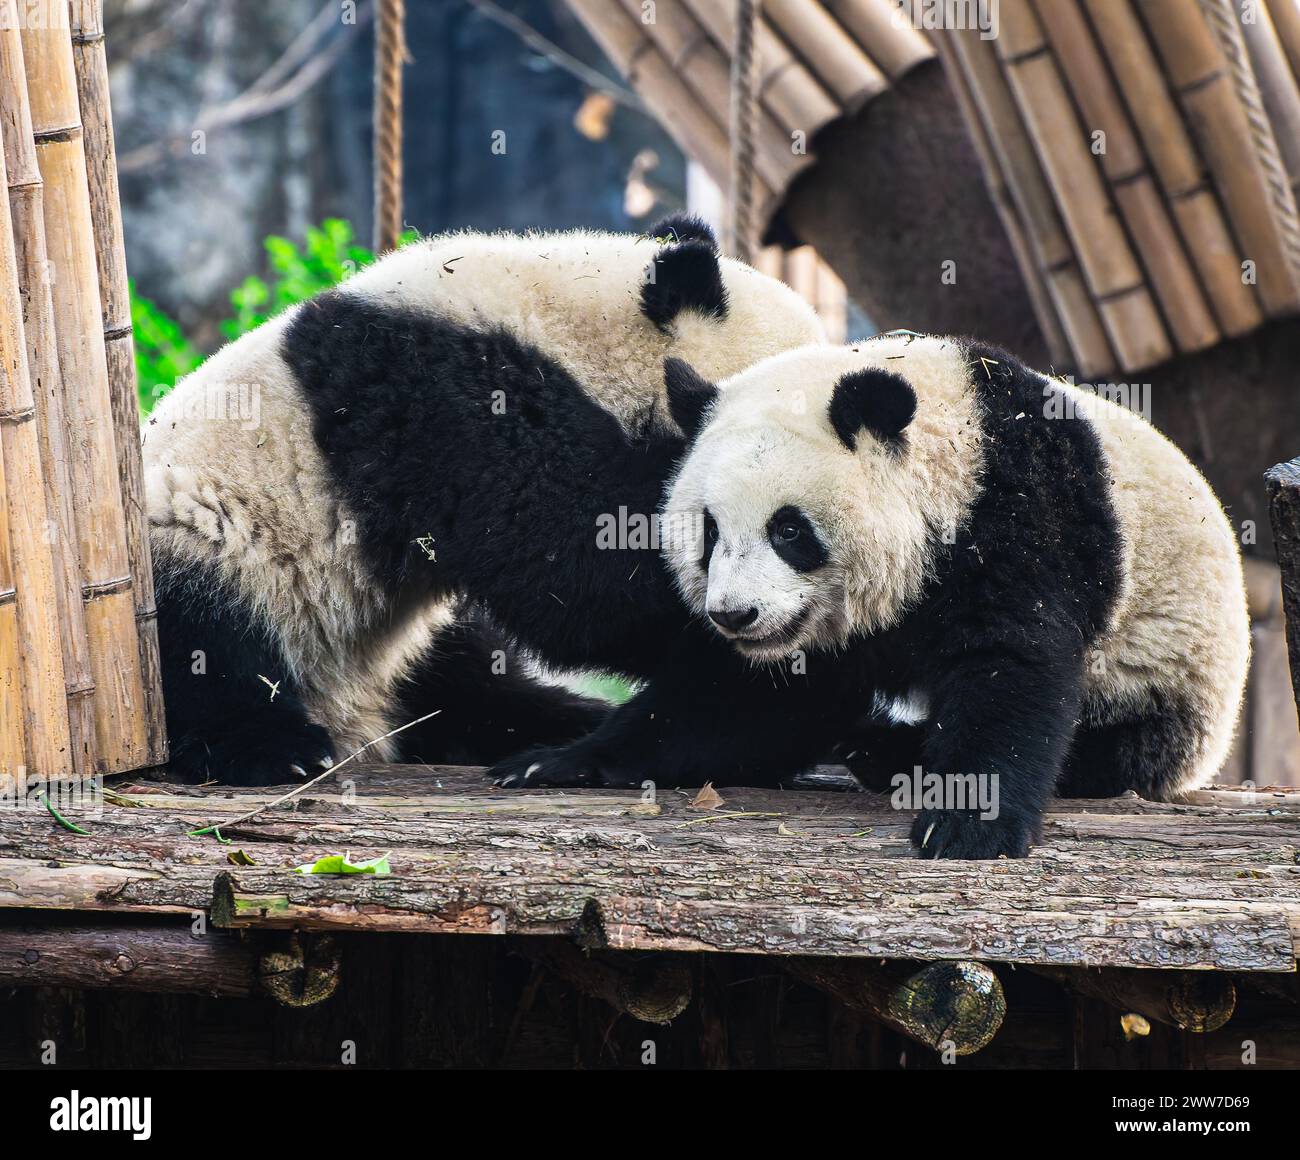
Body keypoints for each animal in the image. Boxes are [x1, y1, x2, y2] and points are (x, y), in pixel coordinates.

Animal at [143, 216, 826, 784]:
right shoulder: (448, 403)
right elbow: (576, 574)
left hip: (402, 639)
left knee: (464, 680)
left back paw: (559, 720)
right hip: (213, 545)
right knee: (206, 649)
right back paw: (277, 748)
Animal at [498, 332, 1250, 860]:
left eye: (789, 529)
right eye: (708, 530)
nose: (734, 615)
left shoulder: (1016, 520)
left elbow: (1012, 668)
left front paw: (963, 825)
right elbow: (737, 700)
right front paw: (556, 761)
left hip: (1166, 676)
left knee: (1115, 748)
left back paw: (888, 753)